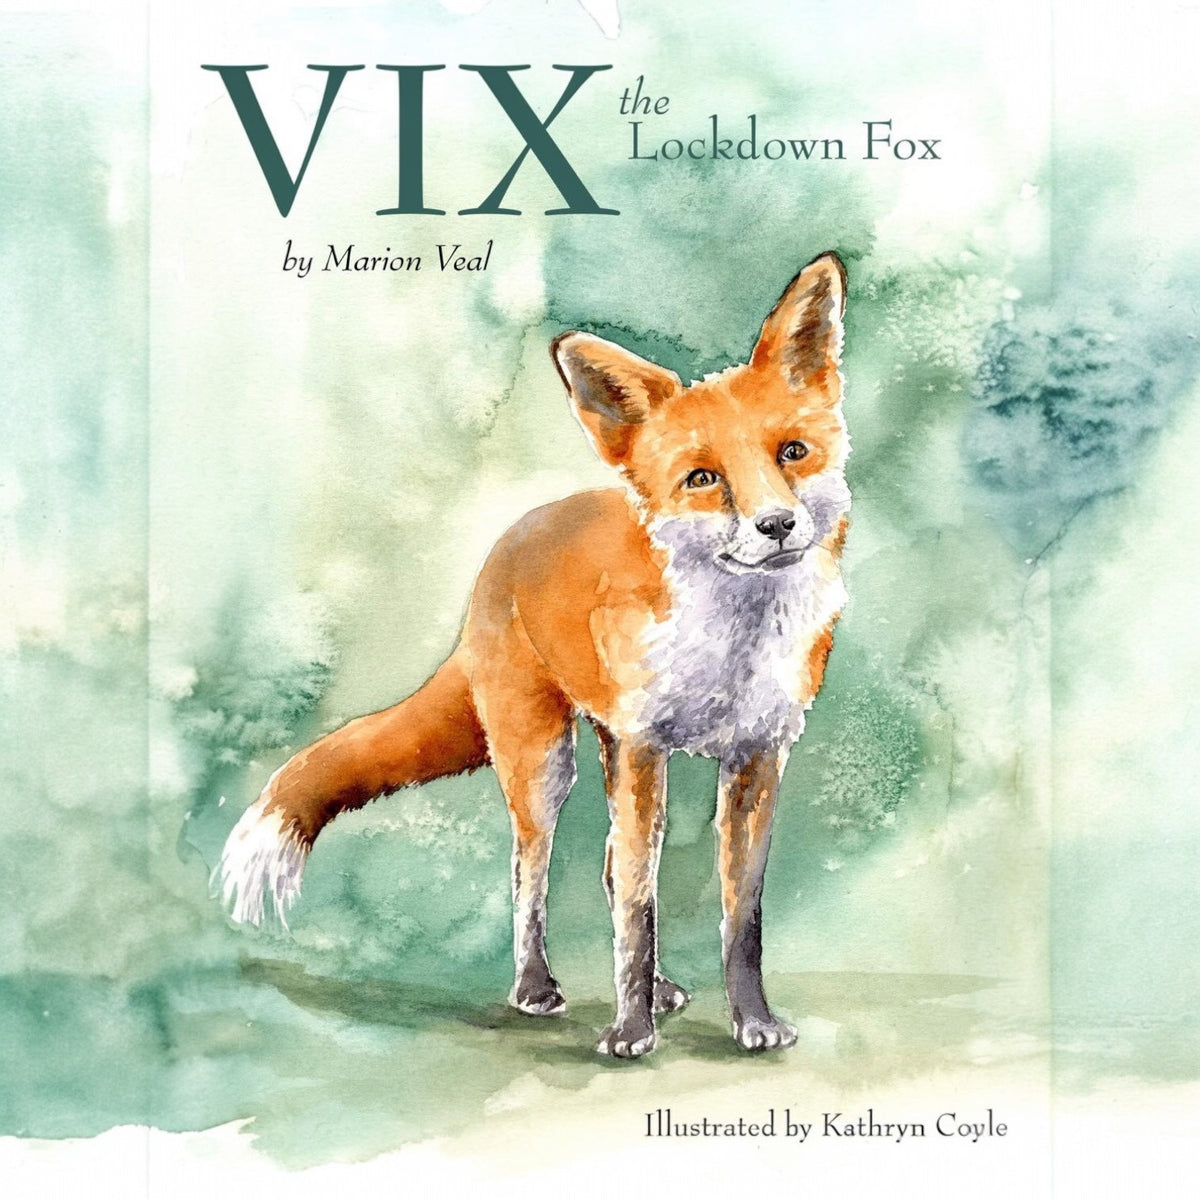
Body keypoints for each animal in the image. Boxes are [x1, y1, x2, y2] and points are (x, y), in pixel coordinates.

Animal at [215, 251, 851, 1058]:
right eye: (705, 478)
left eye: (792, 453)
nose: (777, 525)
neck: (730, 649)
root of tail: (508, 542)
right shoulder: (645, 746)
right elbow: (637, 910)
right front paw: (629, 1030)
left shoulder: (757, 755)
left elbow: (740, 917)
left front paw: (753, 1022)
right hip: (545, 762)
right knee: (531, 871)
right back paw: (535, 988)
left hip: (605, 751)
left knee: (608, 866)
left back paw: (657, 989)